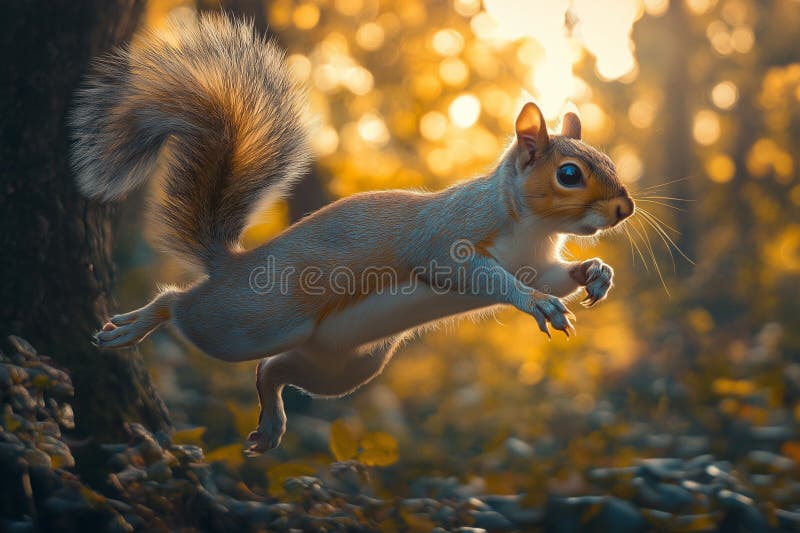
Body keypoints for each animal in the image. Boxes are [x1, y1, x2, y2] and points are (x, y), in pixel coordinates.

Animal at [70, 13, 634, 454]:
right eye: (569, 174)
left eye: (608, 159)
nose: (625, 208)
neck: (535, 229)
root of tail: (232, 263)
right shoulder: (449, 237)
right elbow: (479, 274)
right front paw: (535, 302)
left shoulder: (537, 261)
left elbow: (557, 276)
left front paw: (596, 274)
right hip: (252, 319)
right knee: (184, 309)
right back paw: (134, 325)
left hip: (343, 366)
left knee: (271, 371)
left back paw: (271, 424)